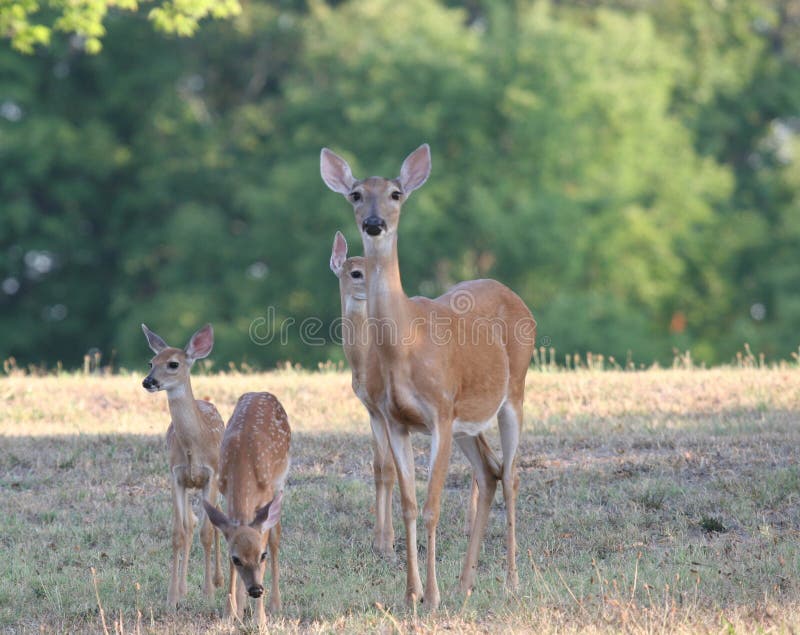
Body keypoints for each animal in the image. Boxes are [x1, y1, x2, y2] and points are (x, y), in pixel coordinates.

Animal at [141, 323, 225, 609]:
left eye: (173, 364)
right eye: (151, 362)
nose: (148, 381)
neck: (193, 444)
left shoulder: (210, 475)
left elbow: (207, 532)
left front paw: (209, 593)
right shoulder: (176, 477)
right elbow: (179, 532)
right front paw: (172, 596)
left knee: (219, 519)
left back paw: (220, 580)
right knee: (190, 523)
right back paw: (185, 588)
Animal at [203, 391, 290, 625]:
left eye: (262, 555)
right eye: (236, 558)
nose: (256, 590)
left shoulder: (265, 497)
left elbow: (268, 541)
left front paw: (260, 619)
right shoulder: (226, 495)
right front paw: (230, 612)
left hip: (280, 481)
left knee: (276, 537)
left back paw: (275, 604)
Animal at [321, 145, 536, 610]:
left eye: (396, 193)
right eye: (356, 194)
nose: (374, 223)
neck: (408, 341)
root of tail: (518, 298)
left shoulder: (438, 412)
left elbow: (434, 504)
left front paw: (431, 597)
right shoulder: (397, 418)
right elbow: (410, 503)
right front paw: (411, 593)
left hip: (514, 391)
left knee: (511, 475)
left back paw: (510, 581)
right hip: (467, 421)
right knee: (489, 473)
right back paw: (465, 582)